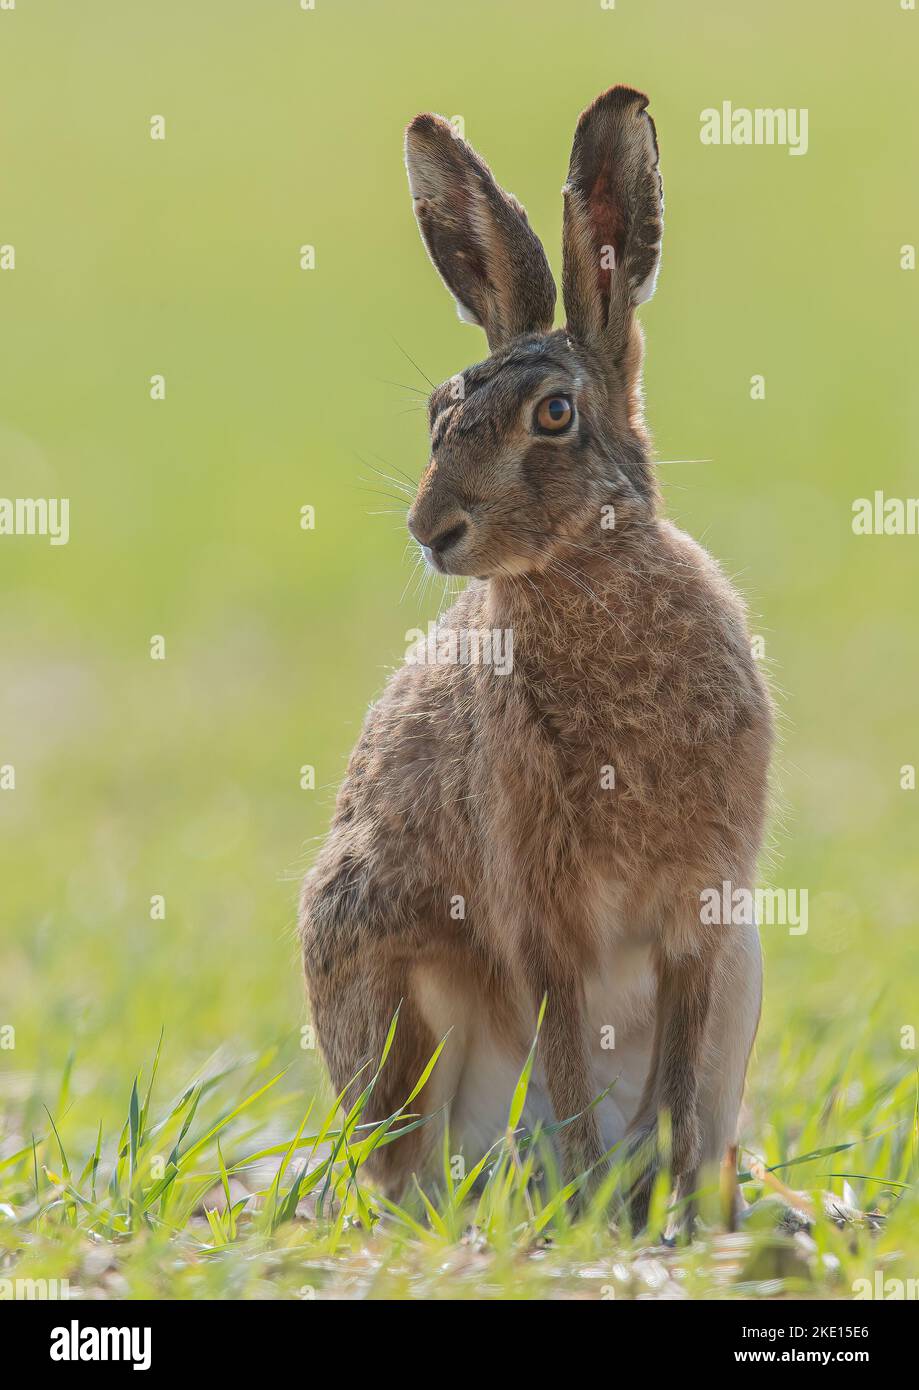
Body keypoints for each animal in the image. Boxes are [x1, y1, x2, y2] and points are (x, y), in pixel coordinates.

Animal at [299, 86, 773, 1227]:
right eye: (439, 413)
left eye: (553, 416)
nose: (432, 530)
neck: (582, 577)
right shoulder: (540, 917)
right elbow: (564, 1061)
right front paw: (606, 1204)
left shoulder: (703, 917)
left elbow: (675, 1087)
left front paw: (665, 1218)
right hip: (397, 1004)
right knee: (417, 1156)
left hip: (747, 969)